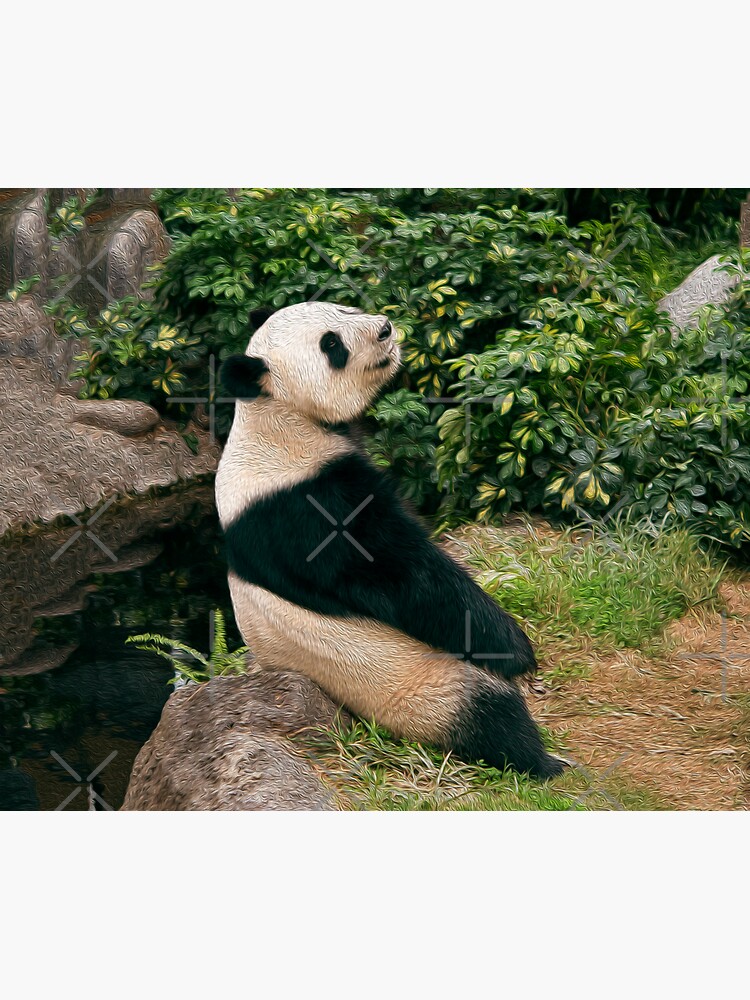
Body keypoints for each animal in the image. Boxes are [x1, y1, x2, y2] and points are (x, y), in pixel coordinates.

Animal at [216, 302, 565, 780]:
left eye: (343, 307)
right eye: (331, 344)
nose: (384, 329)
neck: (279, 418)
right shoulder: (303, 507)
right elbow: (403, 578)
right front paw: (516, 649)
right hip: (412, 682)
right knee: (488, 714)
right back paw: (544, 761)